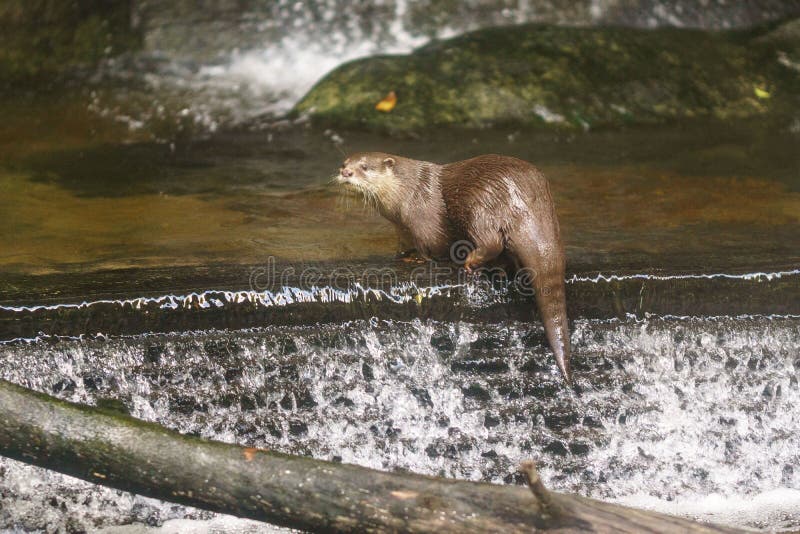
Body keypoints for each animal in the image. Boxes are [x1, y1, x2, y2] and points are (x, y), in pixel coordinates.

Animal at [336, 152, 571, 382]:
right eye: (344, 163)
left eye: (364, 167)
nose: (346, 172)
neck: (406, 194)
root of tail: (524, 201)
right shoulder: (403, 230)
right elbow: (403, 248)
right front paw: (403, 258)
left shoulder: (424, 222)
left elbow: (434, 244)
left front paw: (420, 259)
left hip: (479, 205)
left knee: (491, 240)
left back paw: (471, 261)